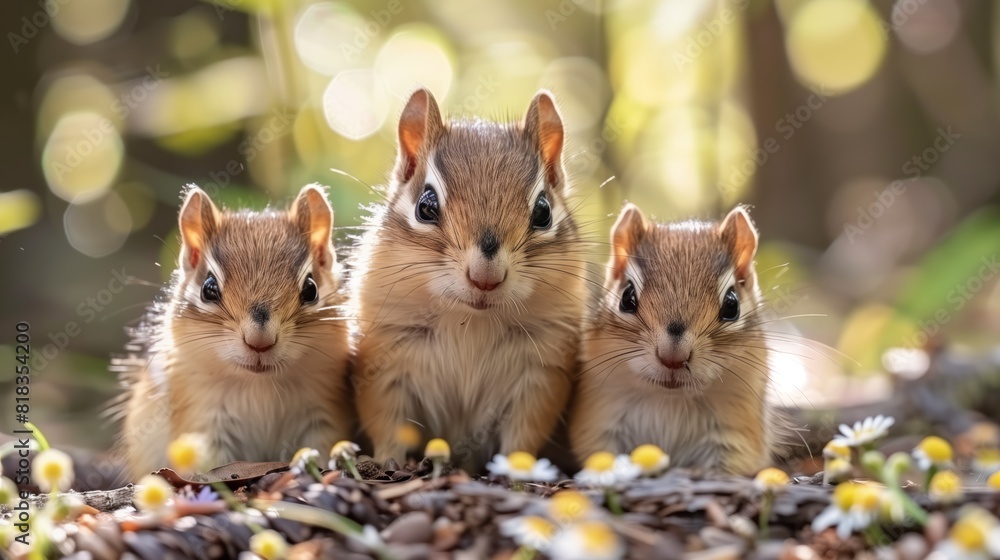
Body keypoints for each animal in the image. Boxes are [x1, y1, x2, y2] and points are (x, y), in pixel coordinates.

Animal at [111, 185, 353, 479]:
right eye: (208, 288)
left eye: (311, 289)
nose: (259, 342)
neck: (260, 385)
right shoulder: (204, 420)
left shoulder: (323, 415)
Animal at [349, 88, 588, 471]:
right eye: (425, 206)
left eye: (544, 211)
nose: (485, 278)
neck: (471, 321)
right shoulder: (383, 365)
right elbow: (387, 423)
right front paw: (387, 462)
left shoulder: (541, 377)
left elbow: (526, 432)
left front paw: (516, 469)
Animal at [568, 203, 786, 475]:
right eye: (627, 297)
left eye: (732, 305)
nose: (672, 357)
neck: (669, 399)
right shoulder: (600, 423)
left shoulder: (736, 436)